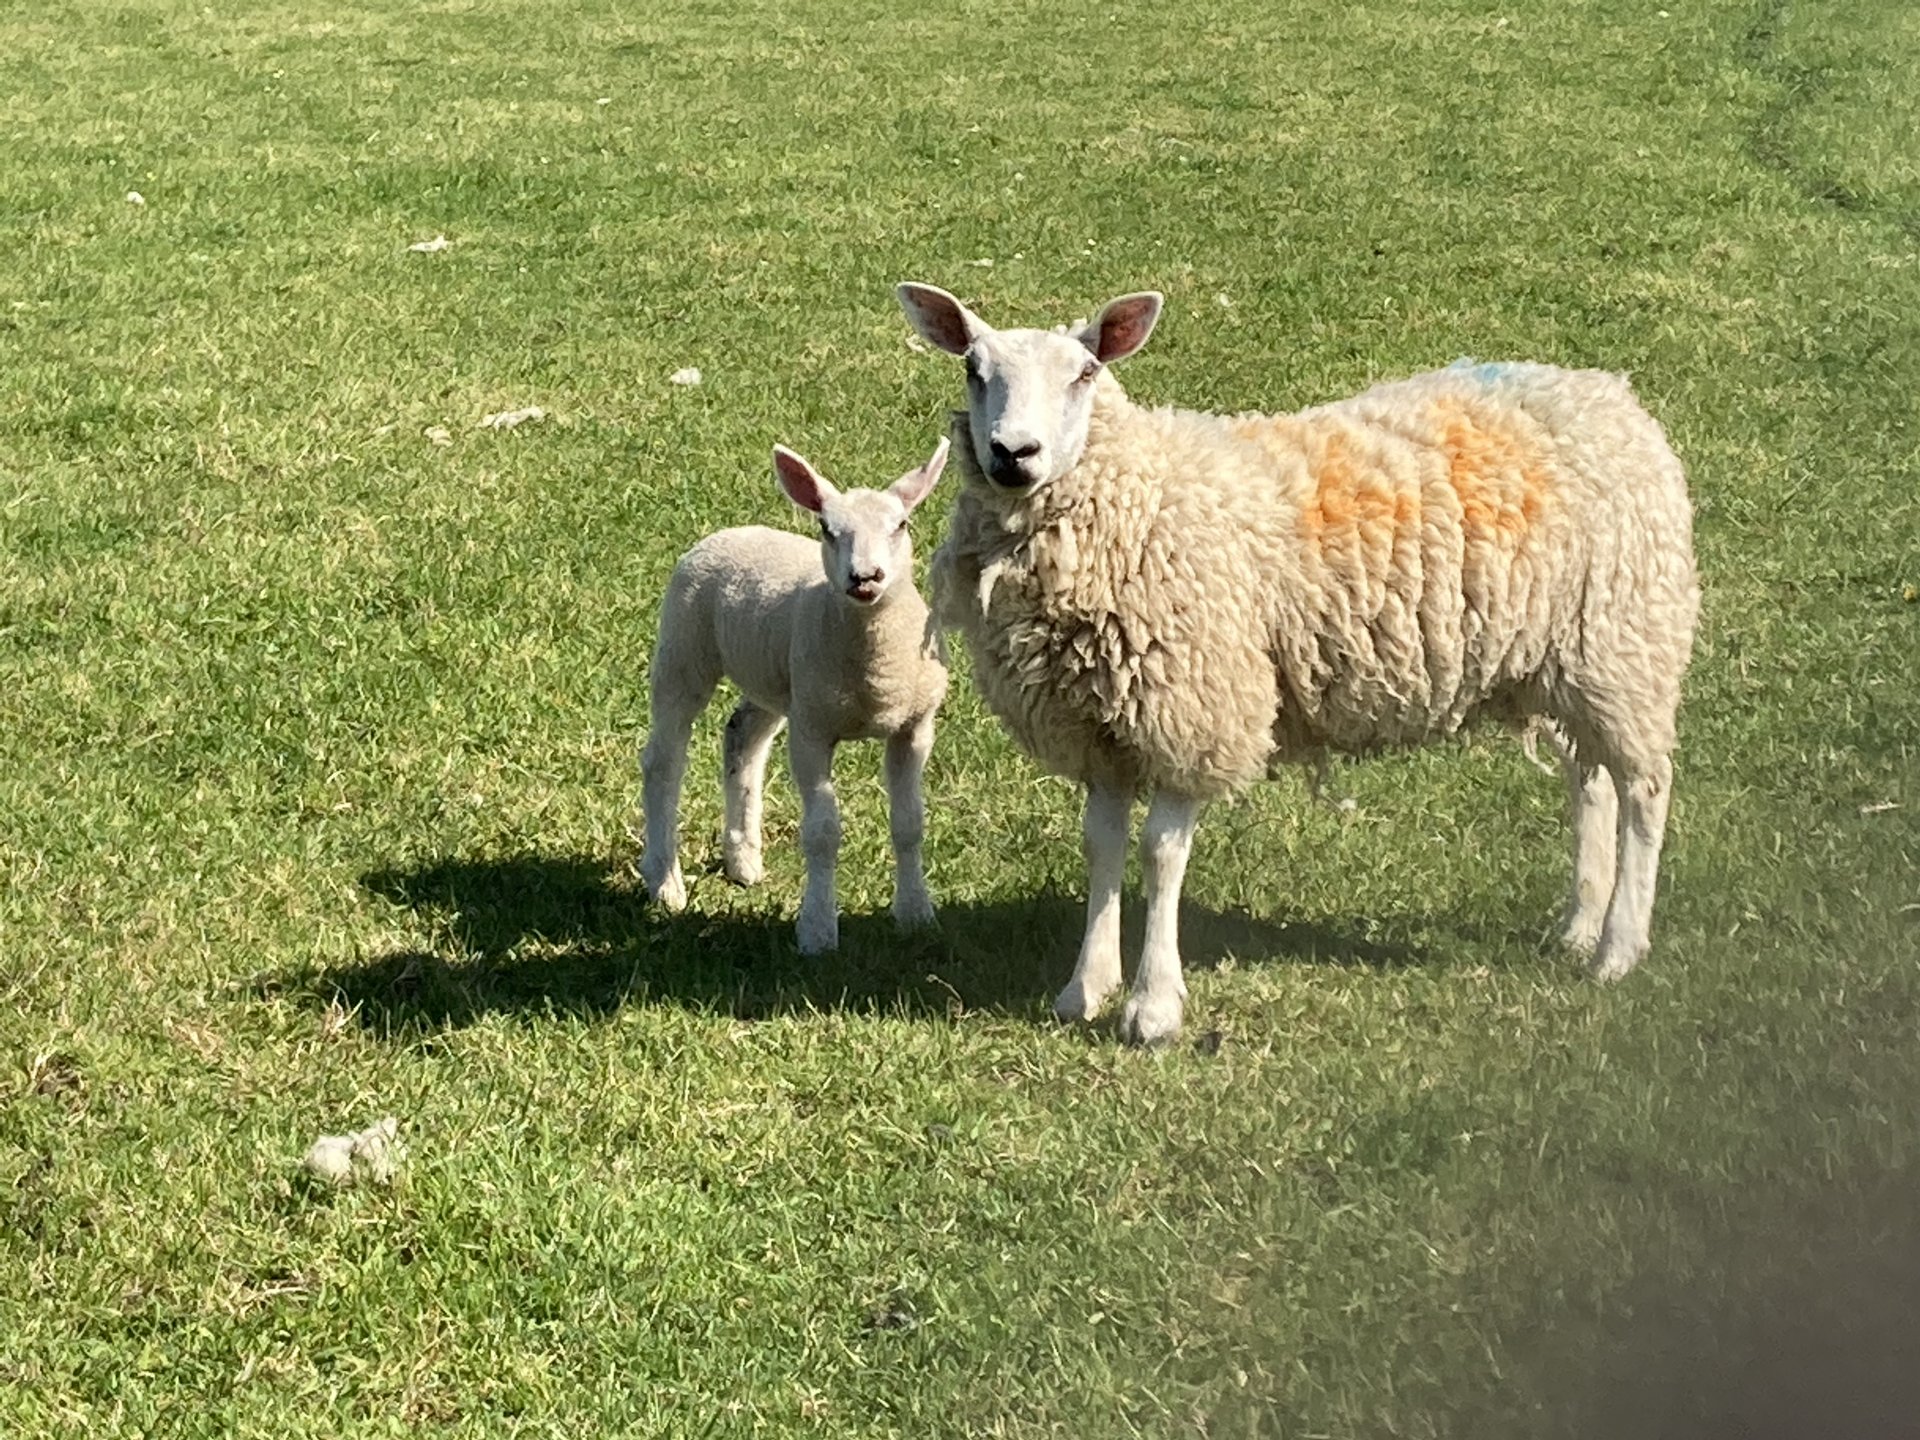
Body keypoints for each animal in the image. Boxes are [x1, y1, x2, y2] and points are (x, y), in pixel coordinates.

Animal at [638, 438, 951, 953]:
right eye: (827, 529)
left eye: (901, 525)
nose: (865, 577)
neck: (875, 677)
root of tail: (730, 531)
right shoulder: (812, 731)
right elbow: (822, 833)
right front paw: (818, 930)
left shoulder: (913, 727)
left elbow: (910, 824)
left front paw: (916, 913)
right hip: (683, 650)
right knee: (663, 761)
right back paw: (664, 881)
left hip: (774, 680)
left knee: (742, 738)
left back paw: (742, 860)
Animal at [897, 282, 1700, 1046]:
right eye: (973, 371)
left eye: (1085, 374)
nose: (1013, 454)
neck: (1139, 499)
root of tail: (1608, 393)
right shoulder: (1100, 725)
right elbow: (1102, 847)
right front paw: (1084, 990)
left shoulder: (1195, 707)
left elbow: (1160, 853)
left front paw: (1153, 1008)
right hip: (1561, 661)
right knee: (1591, 783)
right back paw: (1578, 929)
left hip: (1625, 640)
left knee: (1644, 789)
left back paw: (1619, 948)